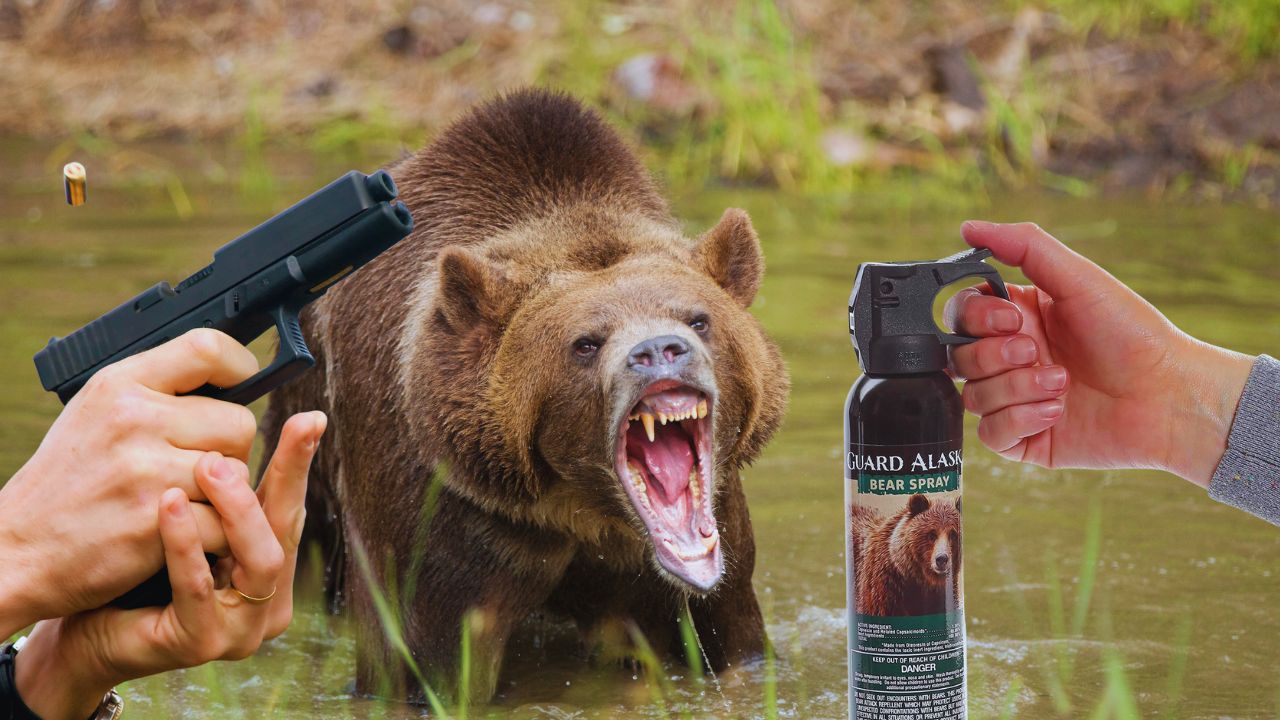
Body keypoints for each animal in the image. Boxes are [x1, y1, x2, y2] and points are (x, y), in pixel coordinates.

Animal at [258, 88, 790, 703]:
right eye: (585, 342)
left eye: (698, 318)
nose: (659, 349)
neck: (581, 507)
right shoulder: (447, 513)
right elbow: (422, 660)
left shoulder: (709, 540)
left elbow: (728, 636)